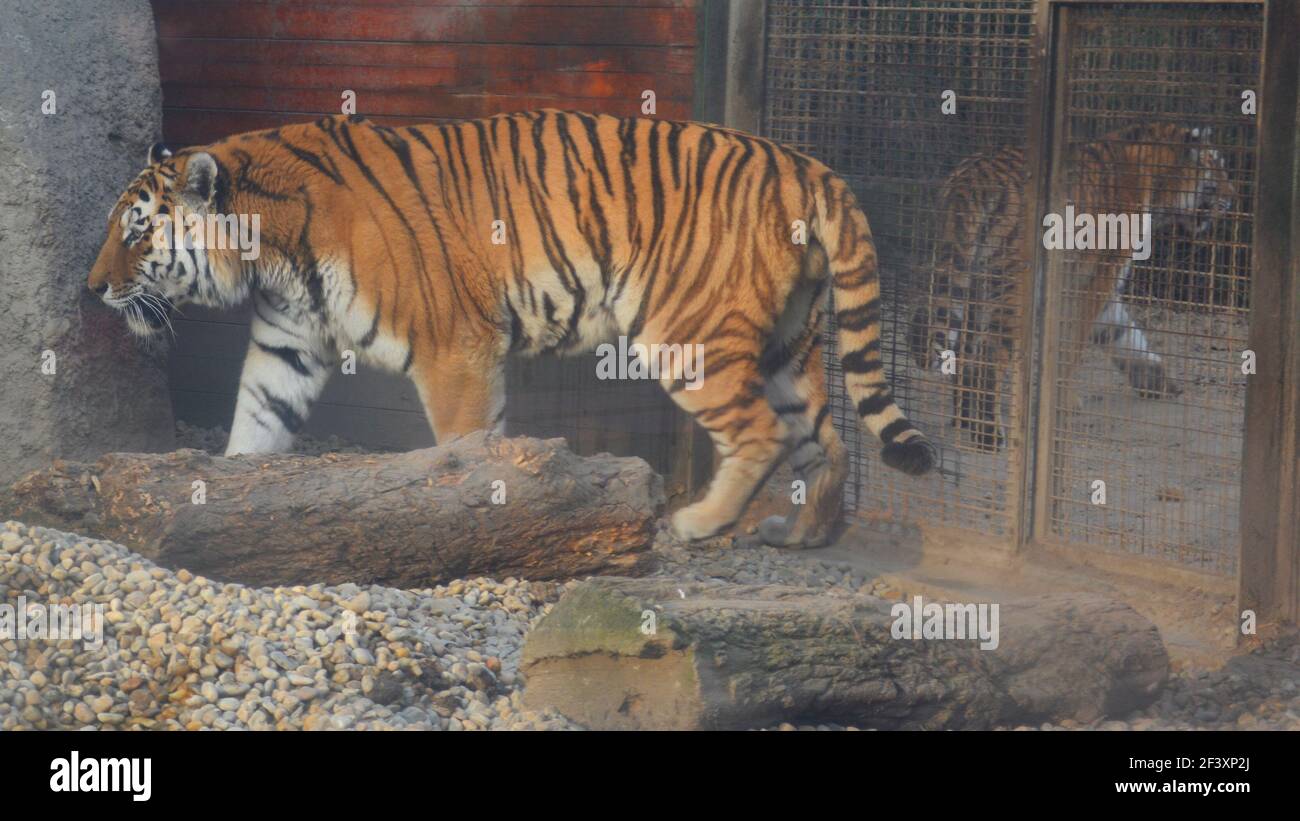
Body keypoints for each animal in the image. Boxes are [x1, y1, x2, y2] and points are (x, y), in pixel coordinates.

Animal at [88, 110, 935, 549]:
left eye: (136, 231)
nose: (92, 287)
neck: (270, 249)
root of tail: (804, 162)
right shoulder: (286, 344)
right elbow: (255, 426)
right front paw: (225, 500)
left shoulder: (452, 349)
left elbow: (464, 446)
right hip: (789, 341)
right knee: (827, 440)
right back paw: (803, 533)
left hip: (688, 332)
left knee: (763, 432)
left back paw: (698, 522)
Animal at [909, 123, 1235, 451]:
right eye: (1217, 168)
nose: (1232, 199)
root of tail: (970, 180)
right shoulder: (1094, 279)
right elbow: (1074, 344)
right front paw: (1065, 401)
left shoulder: (1100, 286)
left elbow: (1123, 334)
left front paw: (1158, 380)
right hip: (1011, 292)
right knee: (986, 359)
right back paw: (988, 437)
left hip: (973, 286)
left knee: (963, 352)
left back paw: (963, 420)